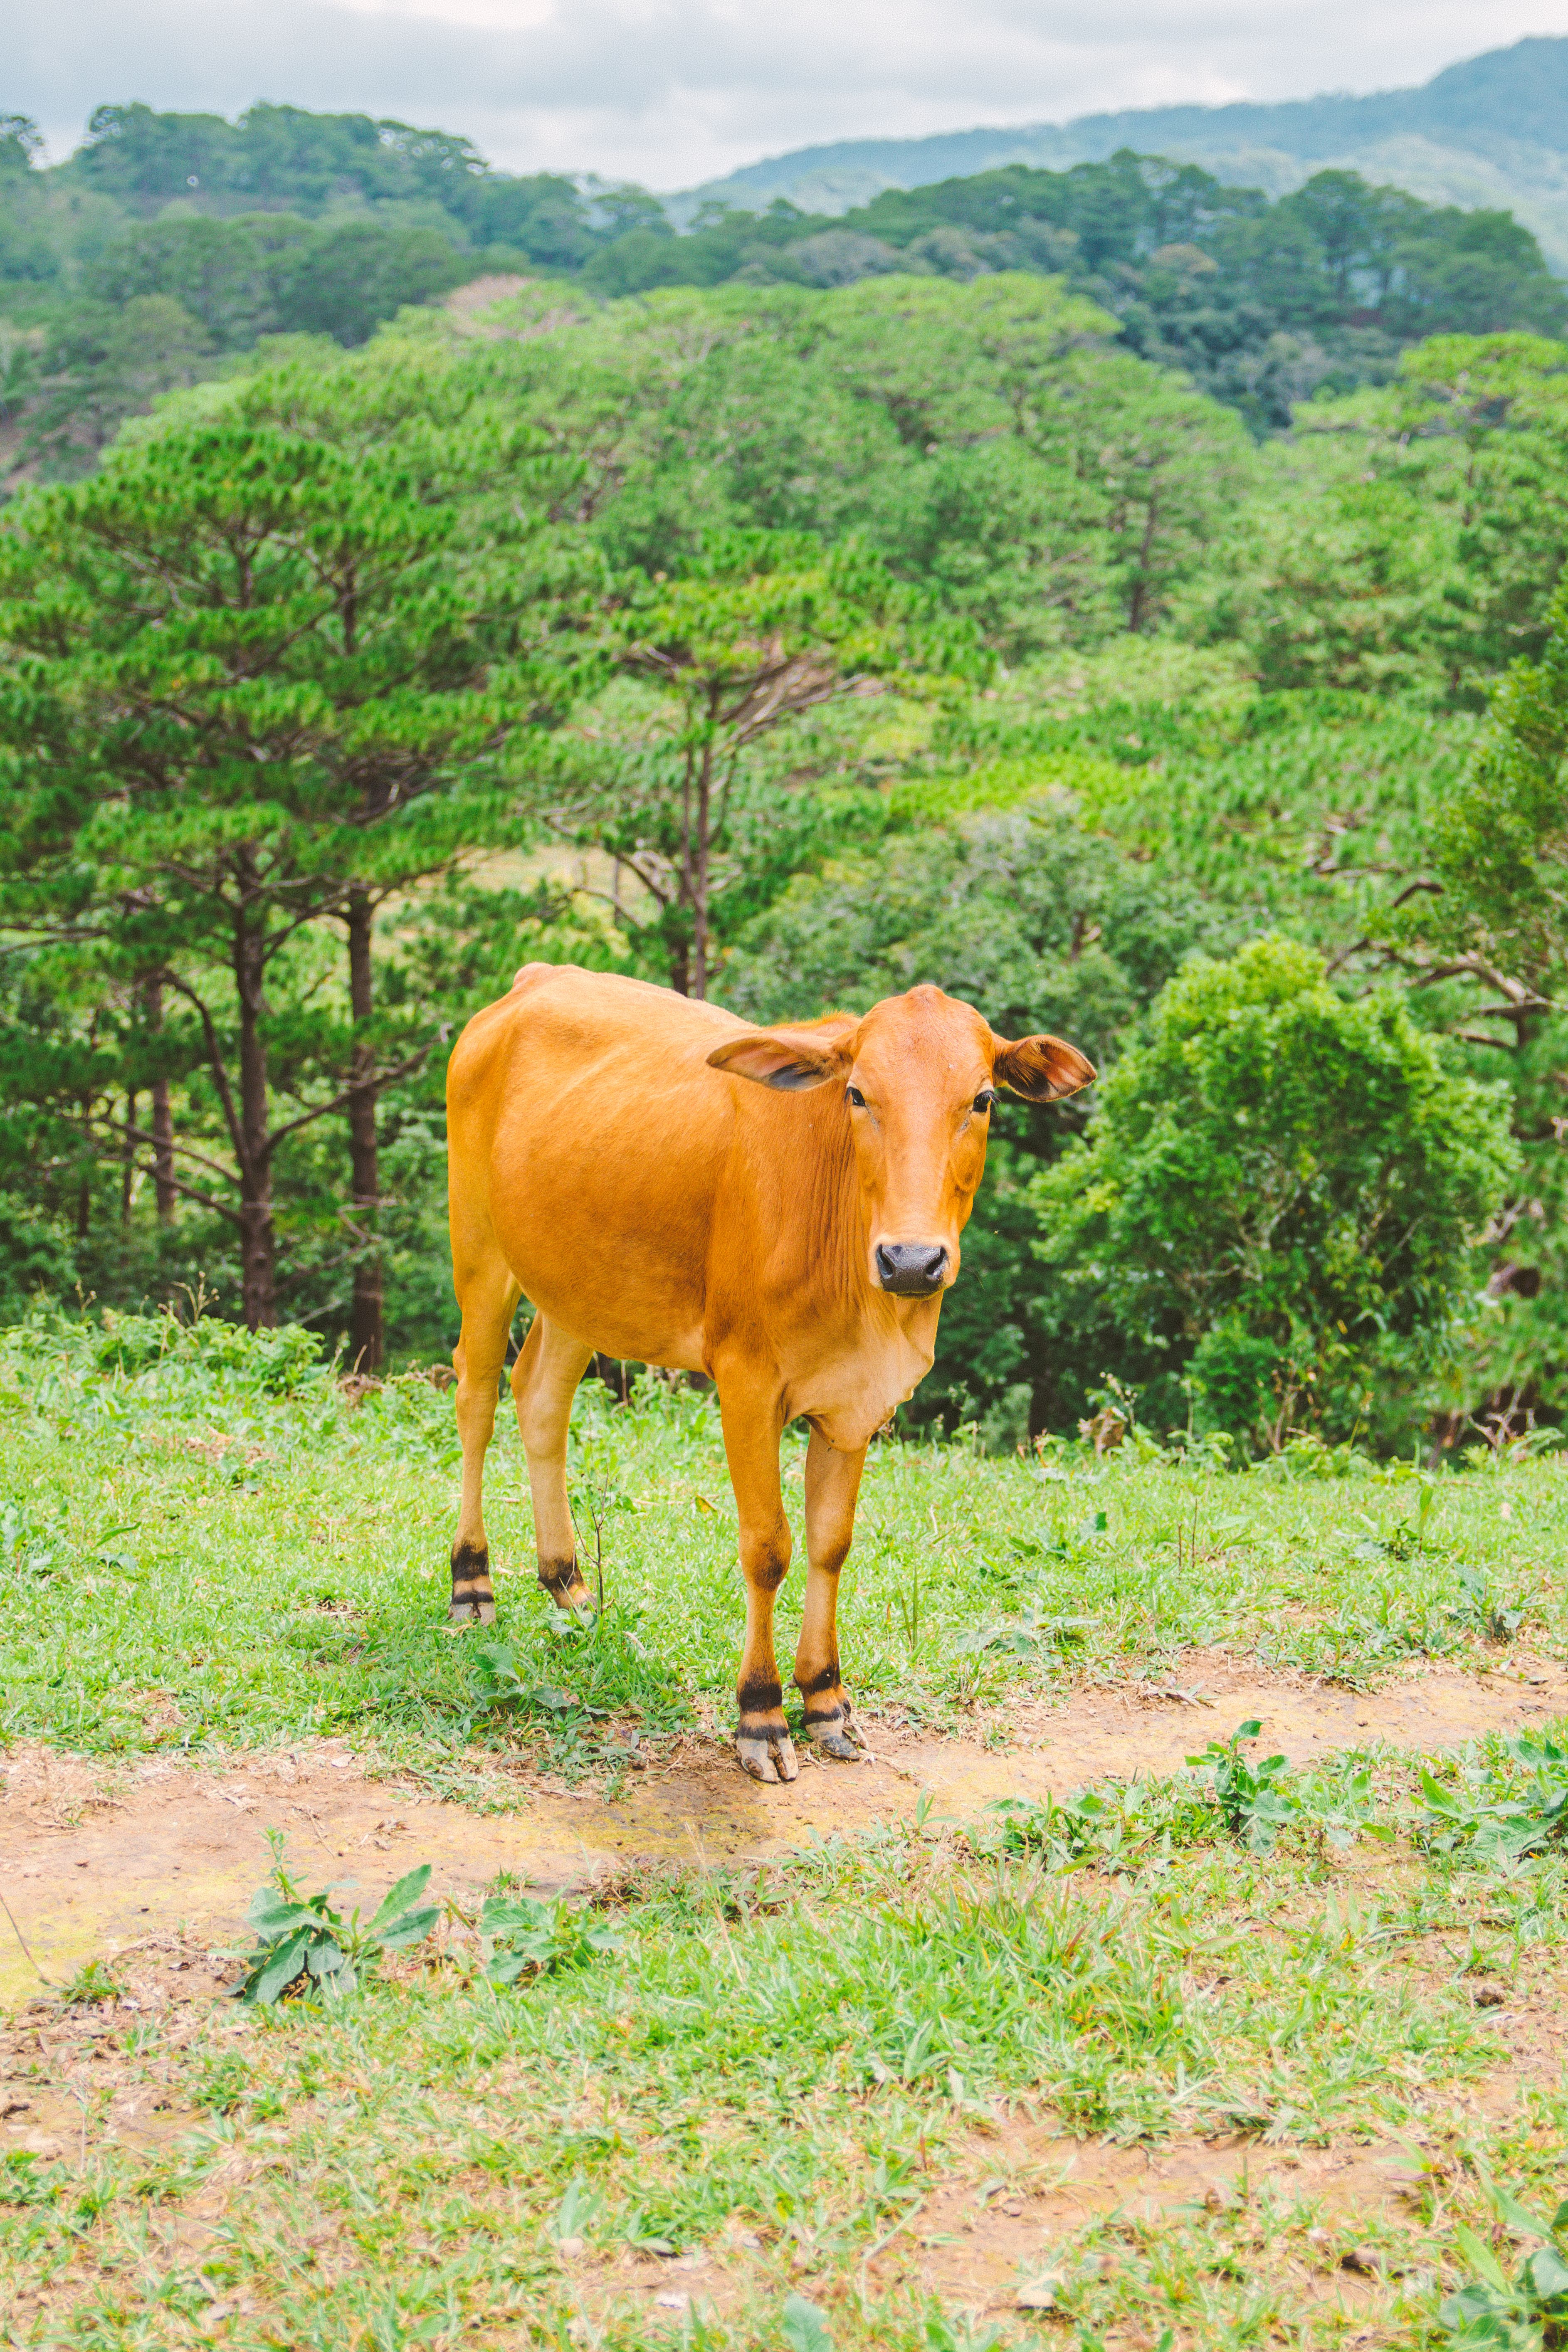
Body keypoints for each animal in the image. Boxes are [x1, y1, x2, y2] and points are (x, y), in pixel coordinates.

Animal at [445, 965, 1095, 1785]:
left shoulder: (856, 1404)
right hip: (479, 1247)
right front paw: (760, 1712)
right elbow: (768, 1547)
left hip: (573, 1284)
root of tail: (533, 979)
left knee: (540, 1399)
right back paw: (471, 1578)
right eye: (857, 1093)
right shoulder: (745, 1386)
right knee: (476, 1399)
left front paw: (826, 1700)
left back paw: (570, 1585)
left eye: (982, 1100)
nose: (911, 1260)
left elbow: (829, 1543)